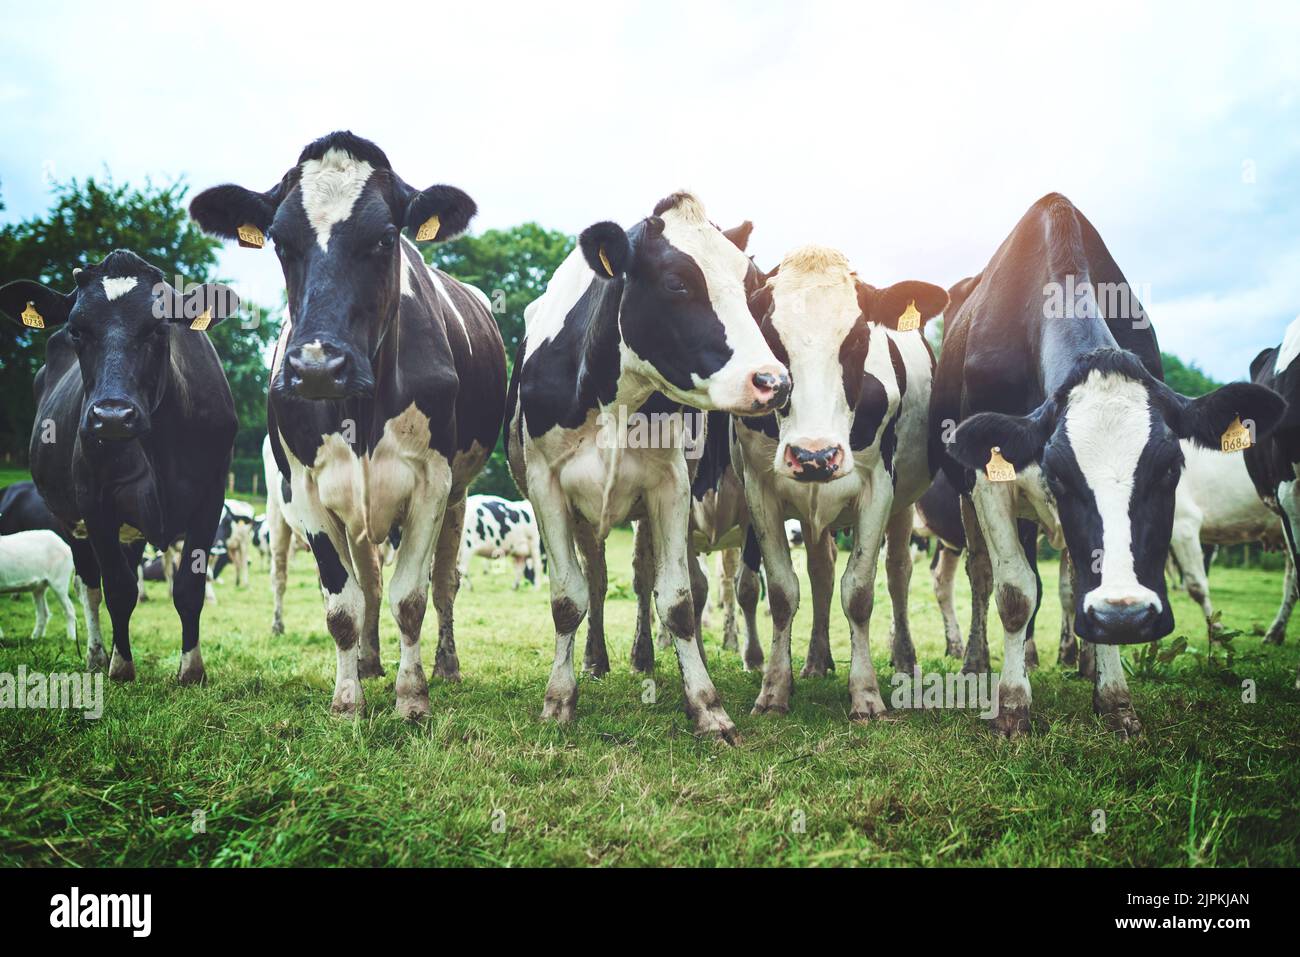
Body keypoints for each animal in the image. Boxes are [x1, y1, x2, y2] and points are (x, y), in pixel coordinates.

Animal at [0, 249, 240, 682]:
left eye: (160, 328)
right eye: (76, 330)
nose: (112, 416)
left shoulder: (211, 497)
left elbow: (188, 586)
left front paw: (191, 669)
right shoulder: (94, 503)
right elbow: (117, 588)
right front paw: (122, 666)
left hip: (131, 529)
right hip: (70, 520)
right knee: (90, 587)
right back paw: (99, 655)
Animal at [190, 131, 507, 717]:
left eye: (385, 238)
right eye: (279, 242)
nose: (318, 366)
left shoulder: (431, 482)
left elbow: (412, 598)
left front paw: (412, 697)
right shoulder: (307, 488)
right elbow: (343, 604)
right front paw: (347, 699)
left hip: (457, 496)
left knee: (444, 583)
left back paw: (444, 665)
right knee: (363, 581)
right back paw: (367, 660)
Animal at [506, 192, 788, 742]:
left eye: (749, 286)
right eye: (677, 282)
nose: (773, 381)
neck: (612, 399)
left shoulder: (670, 487)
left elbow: (677, 600)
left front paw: (706, 705)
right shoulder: (546, 488)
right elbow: (568, 599)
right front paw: (558, 698)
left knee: (644, 582)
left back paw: (645, 658)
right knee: (596, 581)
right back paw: (596, 660)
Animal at [735, 244, 947, 719]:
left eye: (857, 340)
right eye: (771, 338)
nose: (814, 454)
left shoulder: (878, 487)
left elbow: (860, 592)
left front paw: (866, 694)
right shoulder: (760, 486)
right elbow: (783, 591)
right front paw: (774, 689)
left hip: (905, 504)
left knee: (898, 572)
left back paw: (904, 660)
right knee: (821, 571)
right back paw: (816, 660)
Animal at [936, 193, 1286, 735]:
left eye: (1171, 468)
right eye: (1059, 474)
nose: (1124, 616)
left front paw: (1115, 698)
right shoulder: (990, 480)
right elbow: (1014, 593)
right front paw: (1012, 706)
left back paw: (1074, 660)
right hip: (966, 491)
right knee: (981, 573)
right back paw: (979, 663)